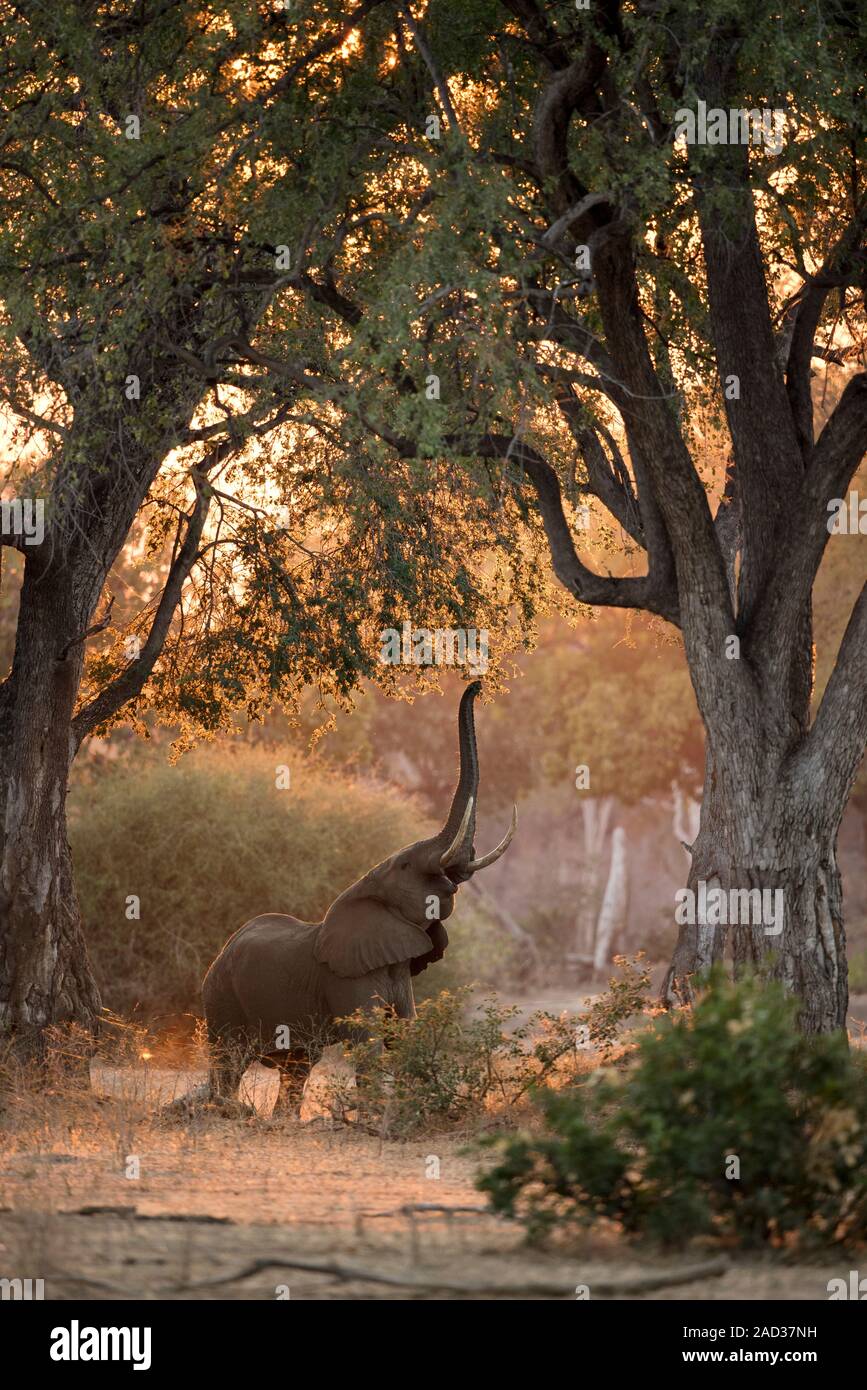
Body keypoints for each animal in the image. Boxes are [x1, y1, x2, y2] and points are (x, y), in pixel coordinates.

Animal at [202, 681, 517, 1102]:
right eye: (406, 865)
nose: (477, 685)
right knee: (230, 1061)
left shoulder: (396, 969)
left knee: (298, 1066)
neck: (367, 887)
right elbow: (367, 1043)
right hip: (221, 997)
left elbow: (403, 1036)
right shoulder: (346, 976)